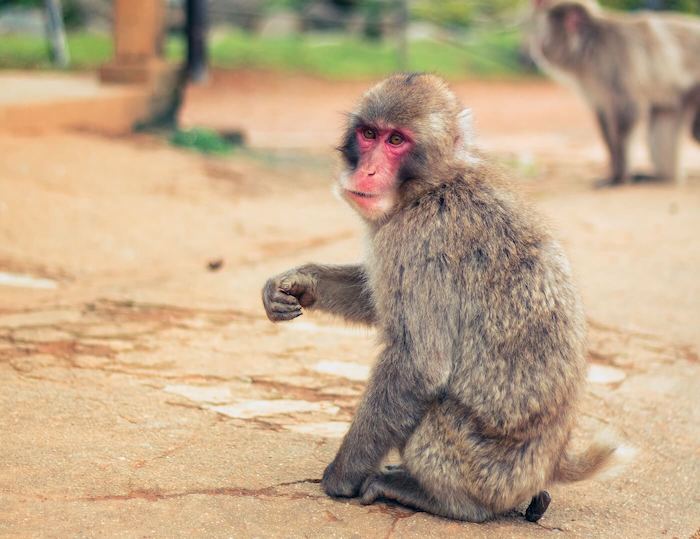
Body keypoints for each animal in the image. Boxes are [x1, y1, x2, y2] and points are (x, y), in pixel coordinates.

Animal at [261, 73, 616, 522]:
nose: (367, 169)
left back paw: (443, 500)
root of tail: (549, 464)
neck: (432, 186)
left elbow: (418, 365)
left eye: (397, 140)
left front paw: (341, 476)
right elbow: (377, 299)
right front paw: (297, 283)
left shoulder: (421, 239)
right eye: (369, 134)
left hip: (485, 468)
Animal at [529, 0, 700, 186]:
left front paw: (620, 177)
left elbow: (628, 111)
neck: (590, 43)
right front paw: (614, 172)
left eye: (548, 28)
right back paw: (663, 178)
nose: (540, 45)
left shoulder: (612, 62)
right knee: (664, 116)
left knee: (695, 132)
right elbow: (604, 115)